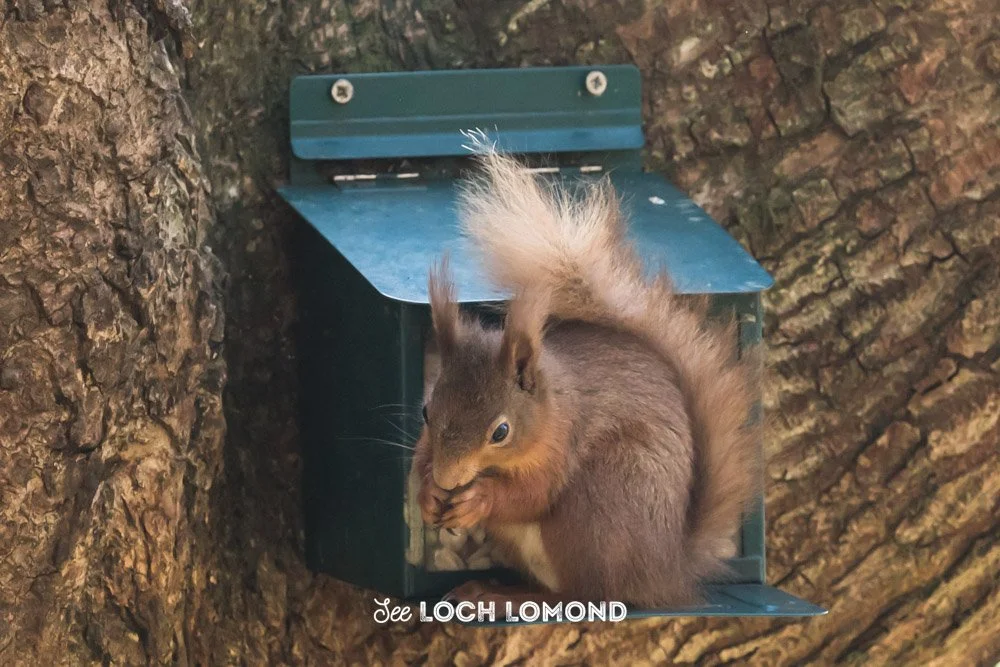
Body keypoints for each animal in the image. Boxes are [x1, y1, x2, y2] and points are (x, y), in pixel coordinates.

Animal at [412, 135, 760, 608]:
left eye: (500, 432)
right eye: (426, 412)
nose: (448, 479)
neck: (550, 405)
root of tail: (664, 572)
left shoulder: (562, 443)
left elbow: (533, 495)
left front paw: (480, 496)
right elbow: (418, 461)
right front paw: (428, 492)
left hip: (598, 508)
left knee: (584, 593)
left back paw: (512, 597)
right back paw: (490, 588)